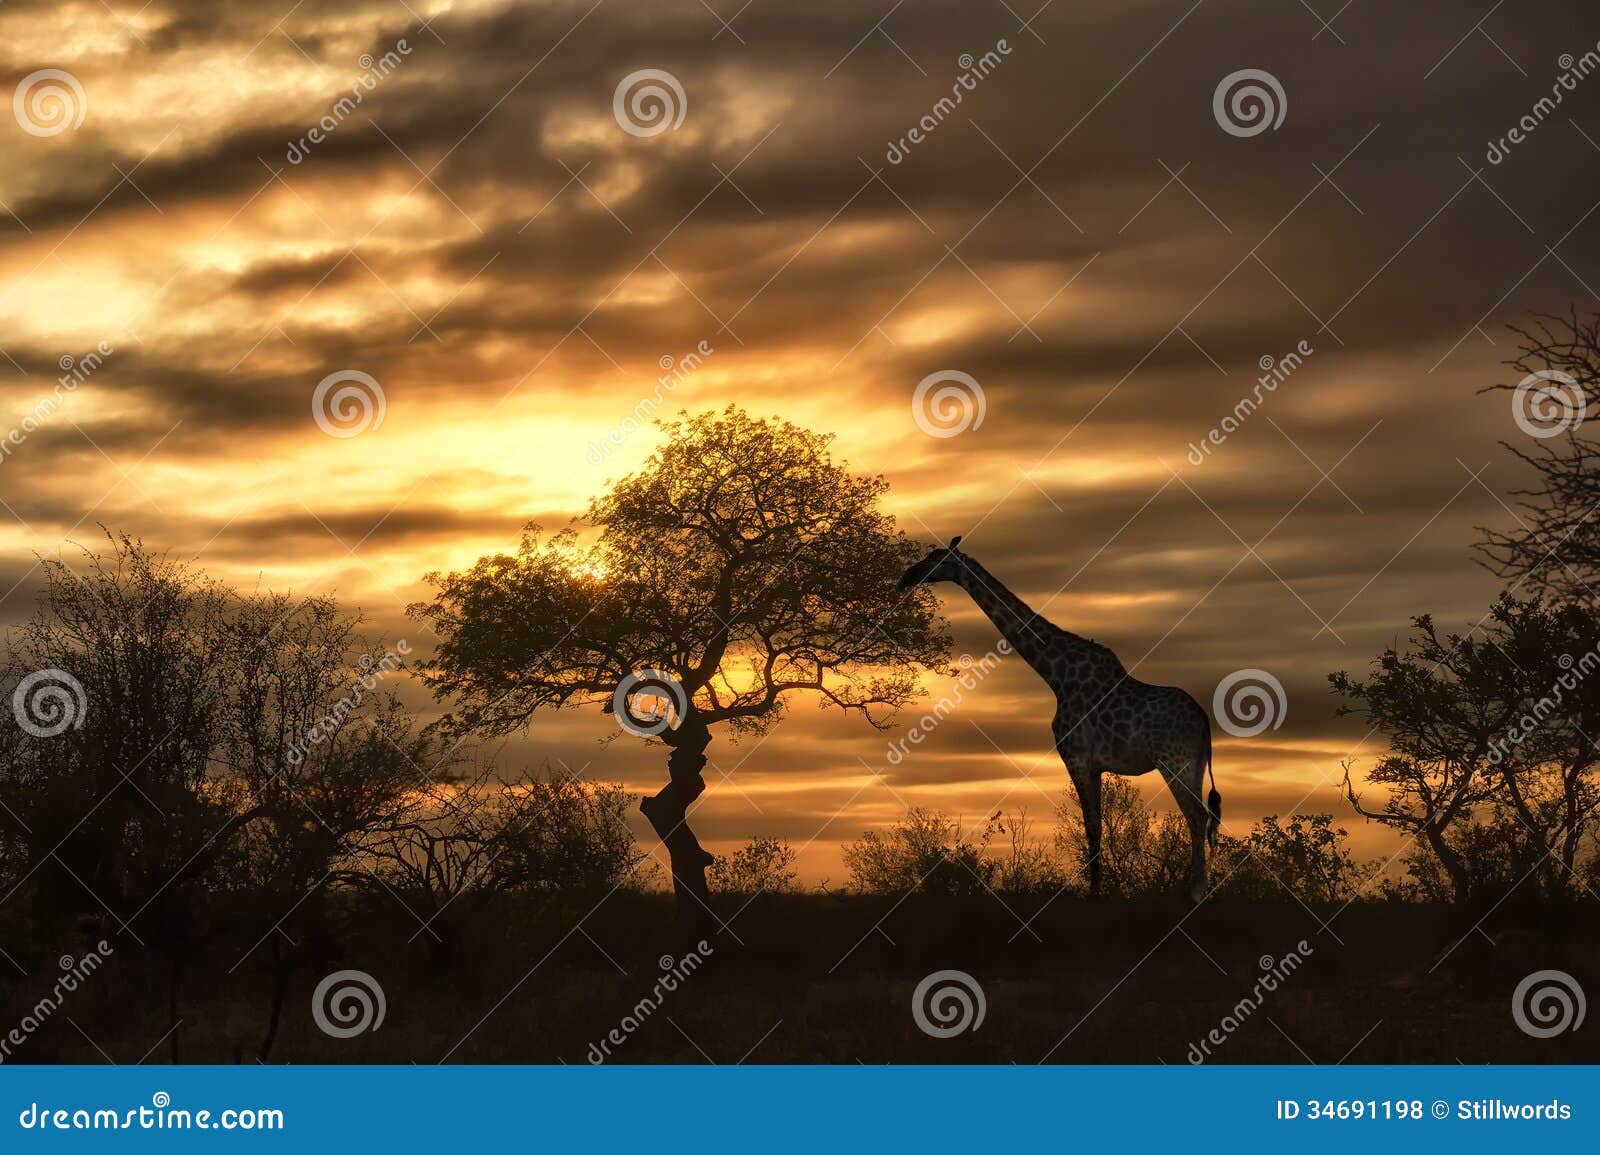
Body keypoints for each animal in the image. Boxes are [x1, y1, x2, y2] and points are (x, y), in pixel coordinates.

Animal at [899, 537, 1221, 902]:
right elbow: (1096, 824)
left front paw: (1094, 894)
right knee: (1204, 818)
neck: (1057, 676)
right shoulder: (1094, 765)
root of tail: (1204, 720)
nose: (906, 577)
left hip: (1174, 762)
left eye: (937, 559)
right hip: (1195, 764)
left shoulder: (1076, 757)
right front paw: (1099, 889)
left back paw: (1196, 893)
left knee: (1196, 816)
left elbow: (1092, 825)